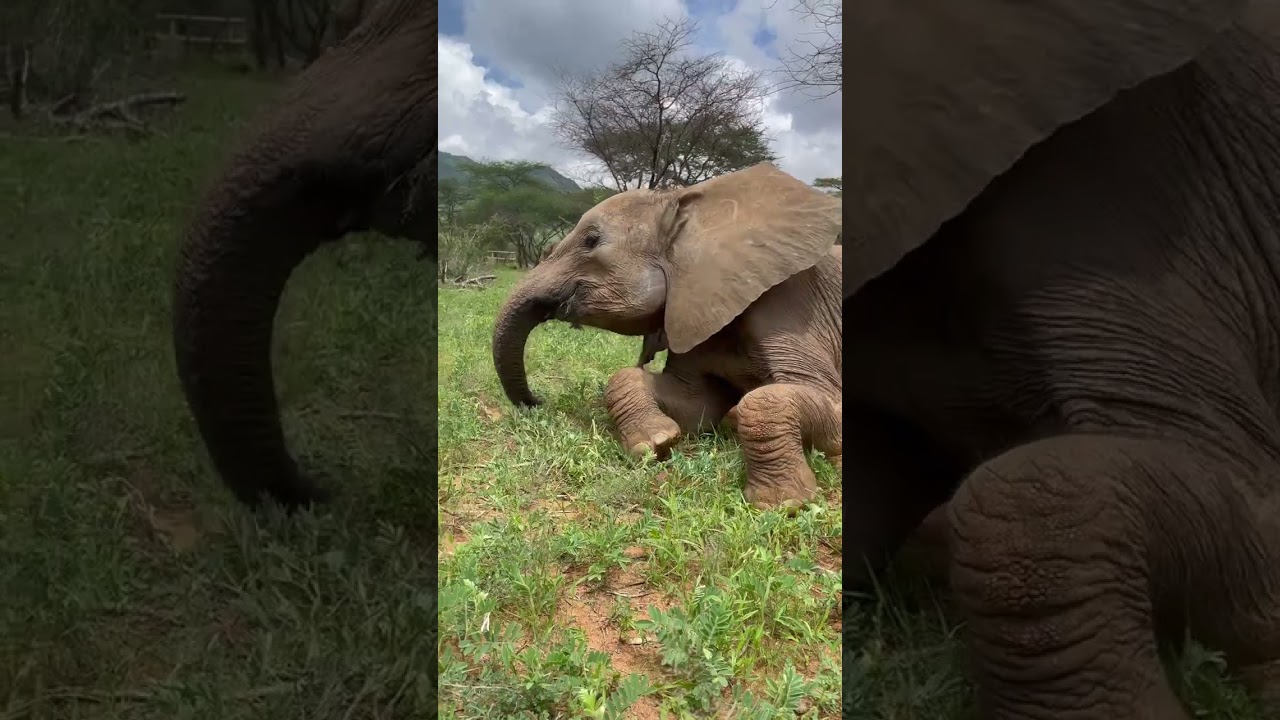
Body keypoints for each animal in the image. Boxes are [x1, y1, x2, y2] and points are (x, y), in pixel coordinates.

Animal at [491, 162, 842, 510]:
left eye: (591, 240)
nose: (538, 402)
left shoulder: (789, 304)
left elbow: (811, 402)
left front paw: (783, 504)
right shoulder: (691, 306)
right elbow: (693, 404)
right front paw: (657, 443)